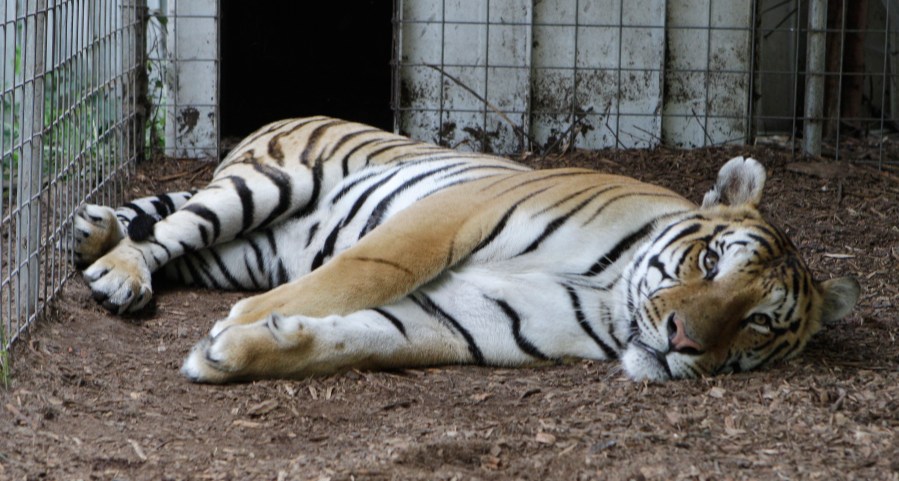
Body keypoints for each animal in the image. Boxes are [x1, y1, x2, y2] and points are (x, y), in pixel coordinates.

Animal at [71, 116, 861, 383]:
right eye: (710, 262)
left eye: (756, 321)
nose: (682, 341)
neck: (610, 294)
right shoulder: (451, 213)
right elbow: (360, 273)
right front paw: (240, 323)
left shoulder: (479, 319)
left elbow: (361, 337)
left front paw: (230, 351)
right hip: (267, 183)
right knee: (167, 229)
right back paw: (115, 270)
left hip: (242, 252)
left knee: (168, 241)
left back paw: (101, 238)